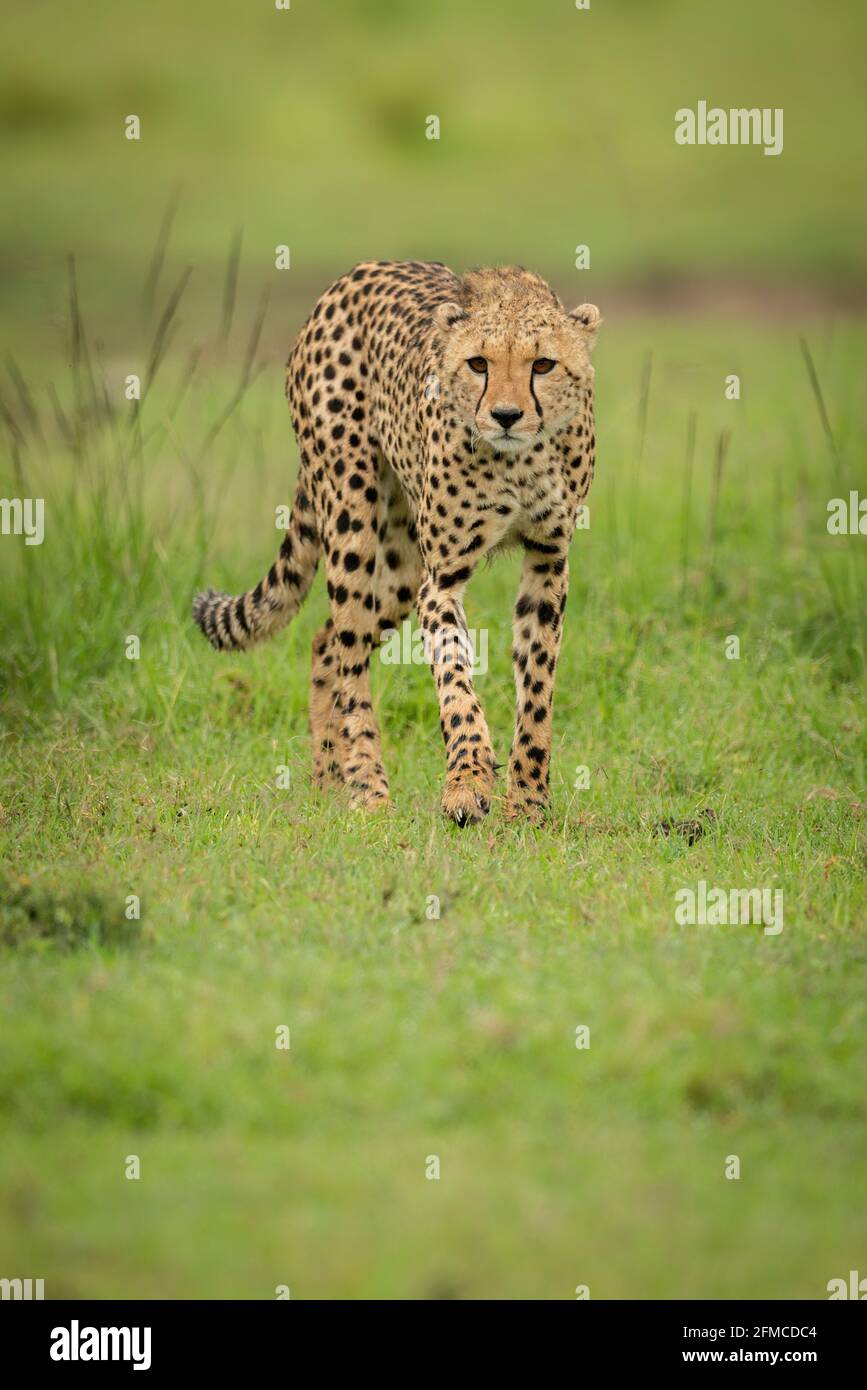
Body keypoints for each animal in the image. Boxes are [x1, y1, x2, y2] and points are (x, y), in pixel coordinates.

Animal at [193, 260, 600, 826]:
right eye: (477, 363)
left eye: (543, 364)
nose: (505, 416)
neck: (519, 461)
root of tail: (352, 275)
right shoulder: (442, 581)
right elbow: (456, 682)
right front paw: (467, 784)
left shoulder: (548, 558)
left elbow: (537, 687)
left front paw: (528, 802)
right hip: (352, 517)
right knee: (347, 654)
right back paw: (366, 790)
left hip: (402, 564)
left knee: (327, 640)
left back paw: (328, 780)